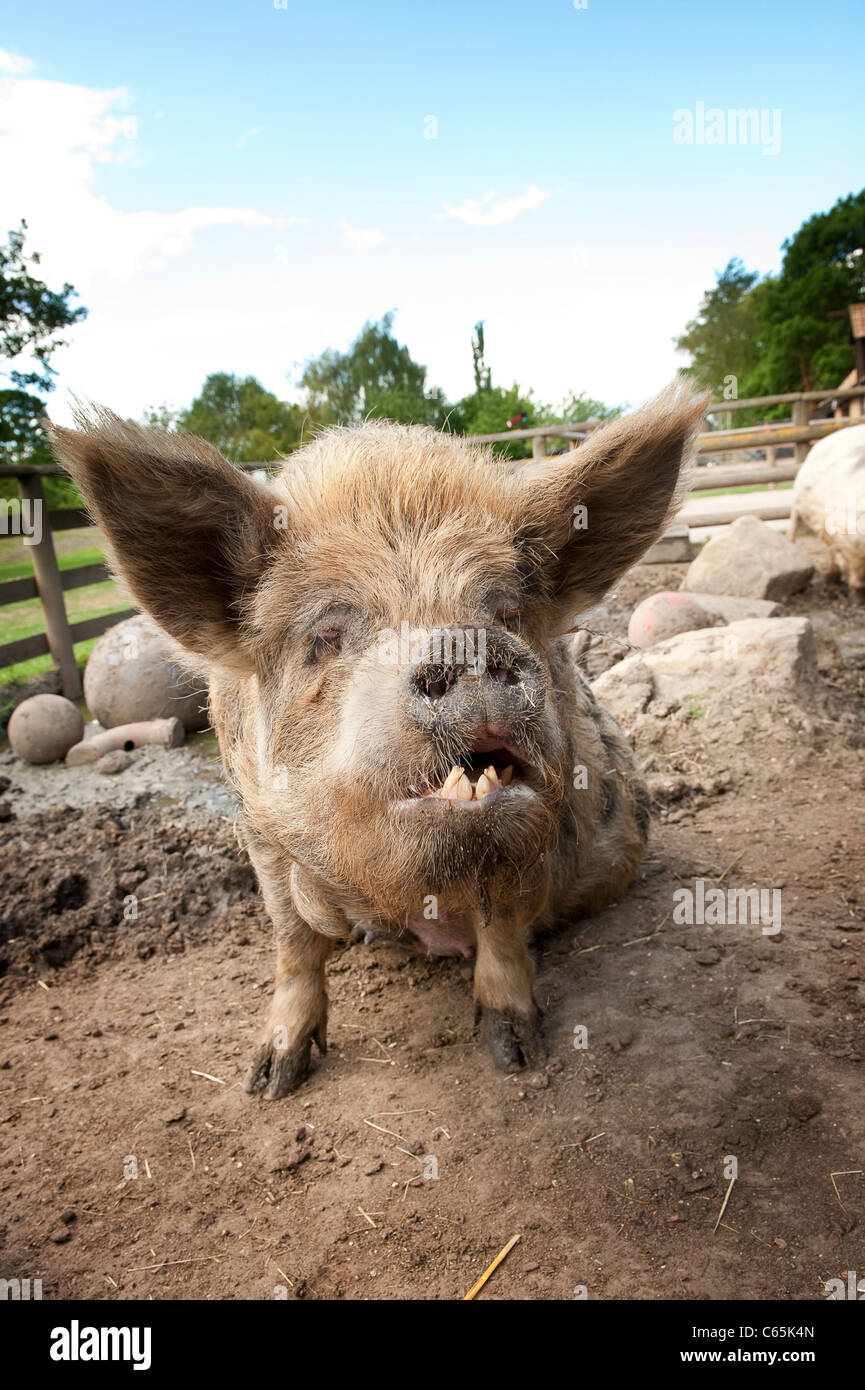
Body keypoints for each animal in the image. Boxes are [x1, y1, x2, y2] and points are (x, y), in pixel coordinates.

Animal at [50, 382, 706, 1098]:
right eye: (324, 637)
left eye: (506, 613)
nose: (466, 646)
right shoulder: (258, 828)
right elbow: (293, 944)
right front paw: (270, 1082)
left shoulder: (532, 826)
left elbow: (503, 932)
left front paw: (518, 1056)